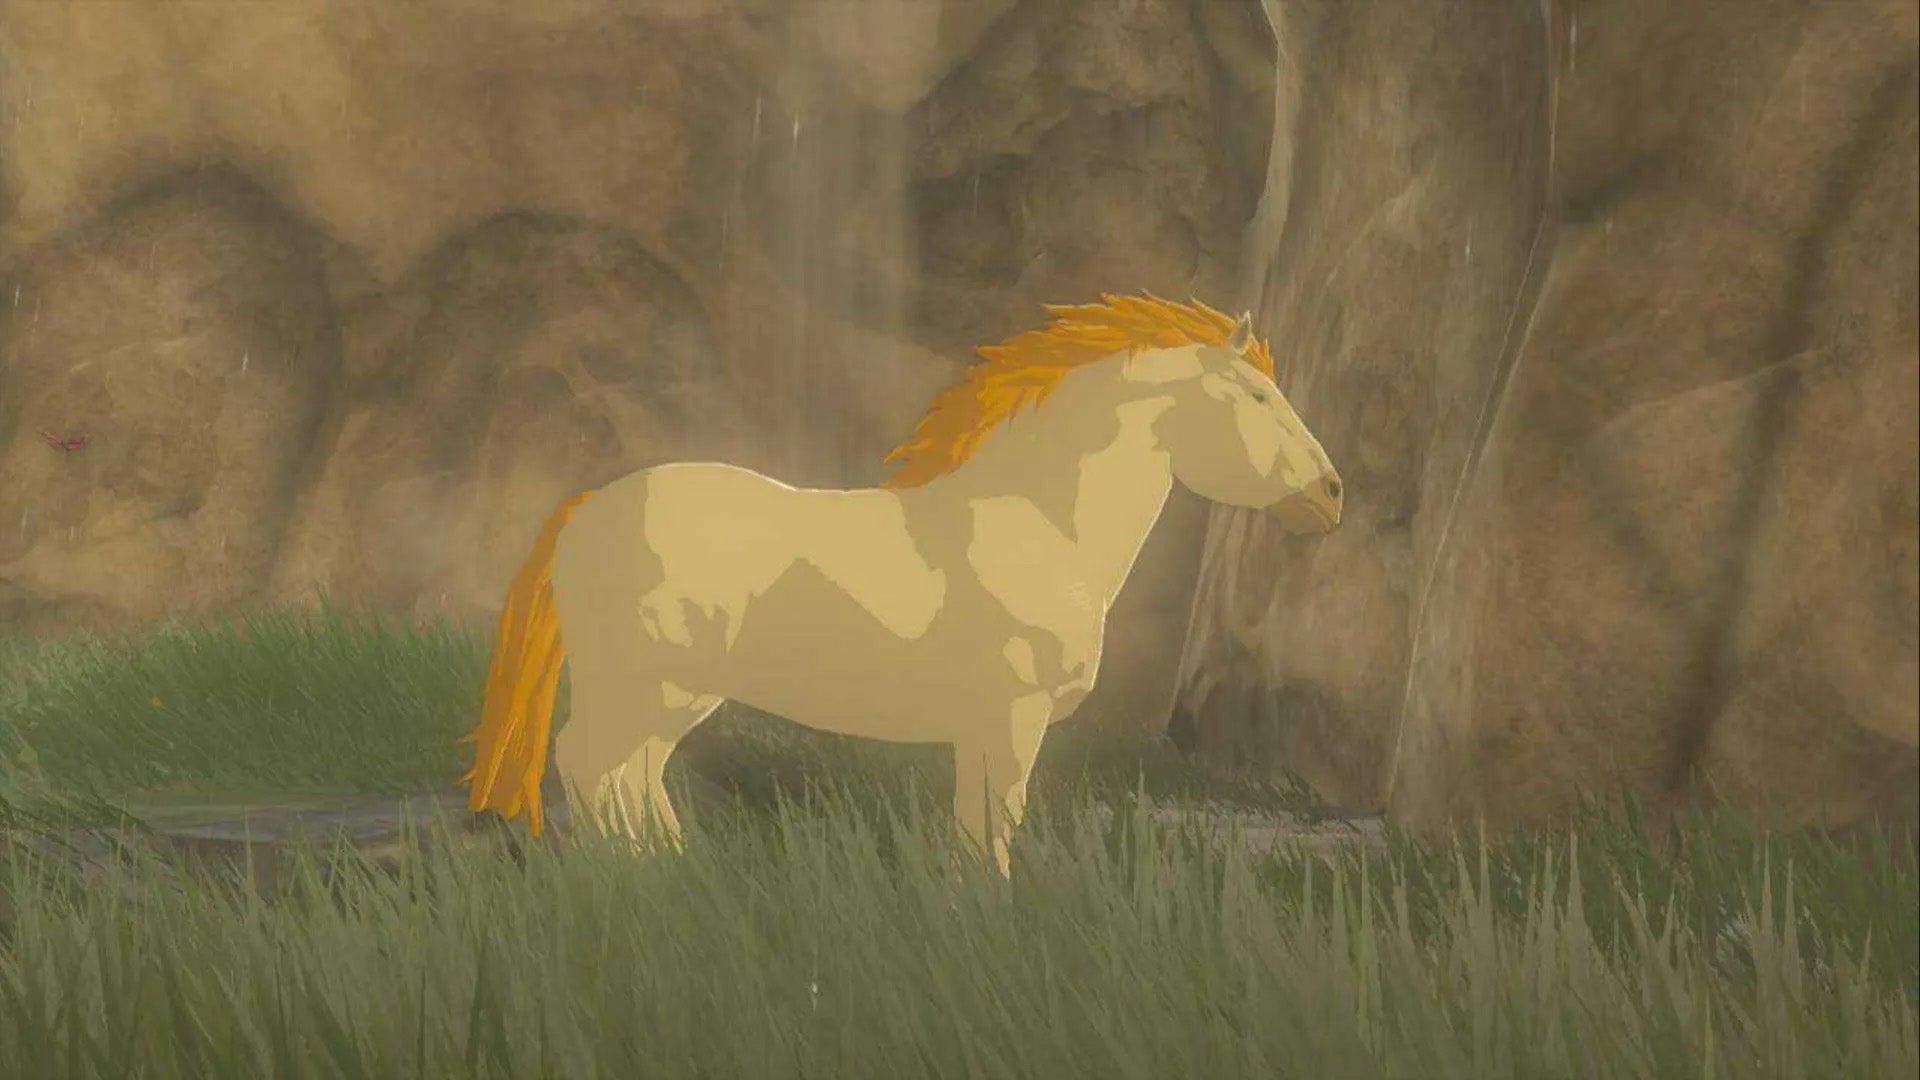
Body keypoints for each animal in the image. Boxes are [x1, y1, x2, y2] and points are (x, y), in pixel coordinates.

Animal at [460, 293, 1343, 876]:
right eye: (1258, 396)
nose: (1331, 494)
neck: (1040, 526)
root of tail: (585, 512)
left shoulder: (986, 730)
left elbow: (973, 831)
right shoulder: (1012, 720)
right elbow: (991, 833)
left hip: (671, 694)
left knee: (630, 779)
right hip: (649, 685)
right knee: (592, 767)